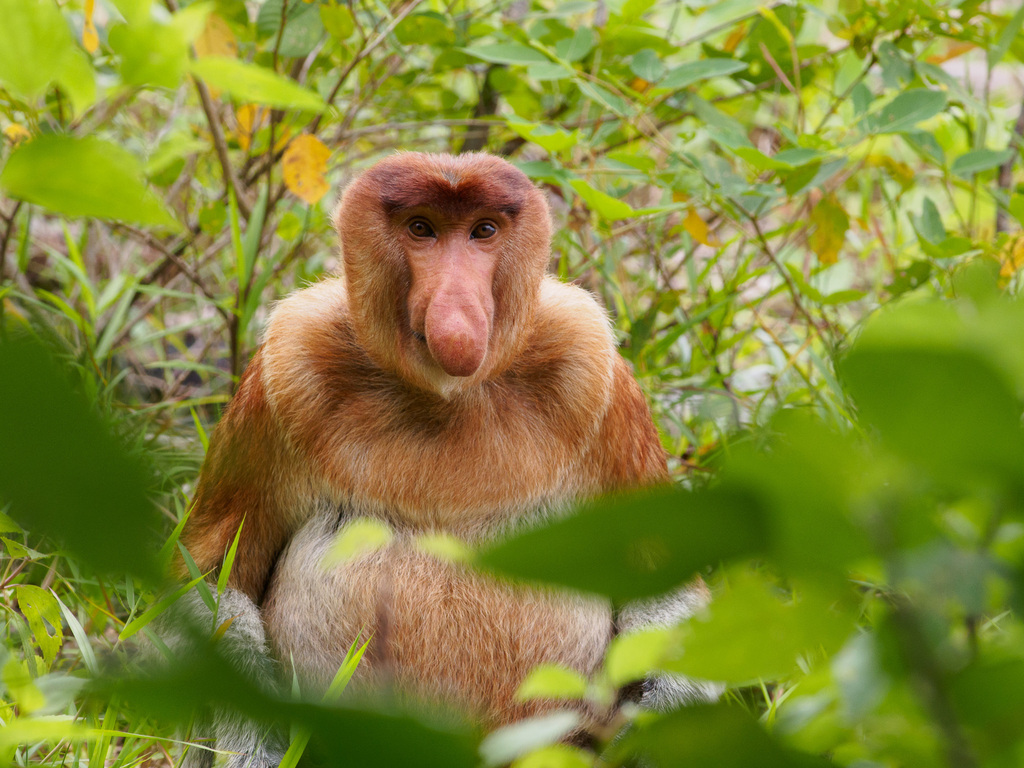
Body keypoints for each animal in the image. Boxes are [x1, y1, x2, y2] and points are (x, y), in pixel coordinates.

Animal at [174, 152, 715, 765]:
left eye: (483, 231)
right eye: (421, 228)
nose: (457, 311)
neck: (446, 398)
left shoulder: (597, 377)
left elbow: (665, 593)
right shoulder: (283, 372)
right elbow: (213, 581)